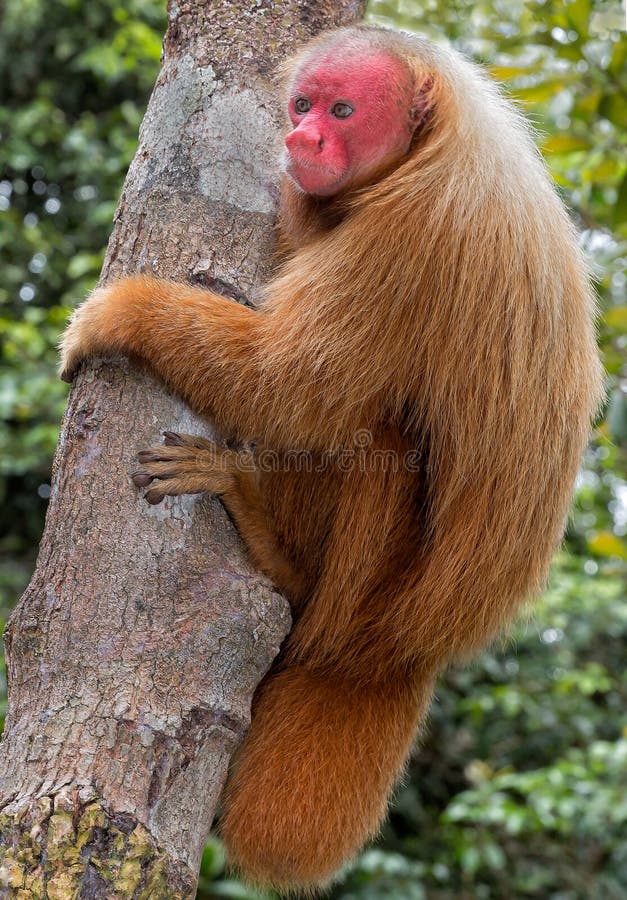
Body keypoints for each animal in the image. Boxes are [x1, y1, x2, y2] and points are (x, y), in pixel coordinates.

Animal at [60, 24, 603, 891]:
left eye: (341, 111)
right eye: (302, 105)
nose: (301, 141)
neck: (426, 145)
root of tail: (401, 651)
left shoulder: (410, 234)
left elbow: (284, 387)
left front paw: (123, 311)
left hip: (356, 590)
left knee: (366, 426)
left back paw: (271, 545)